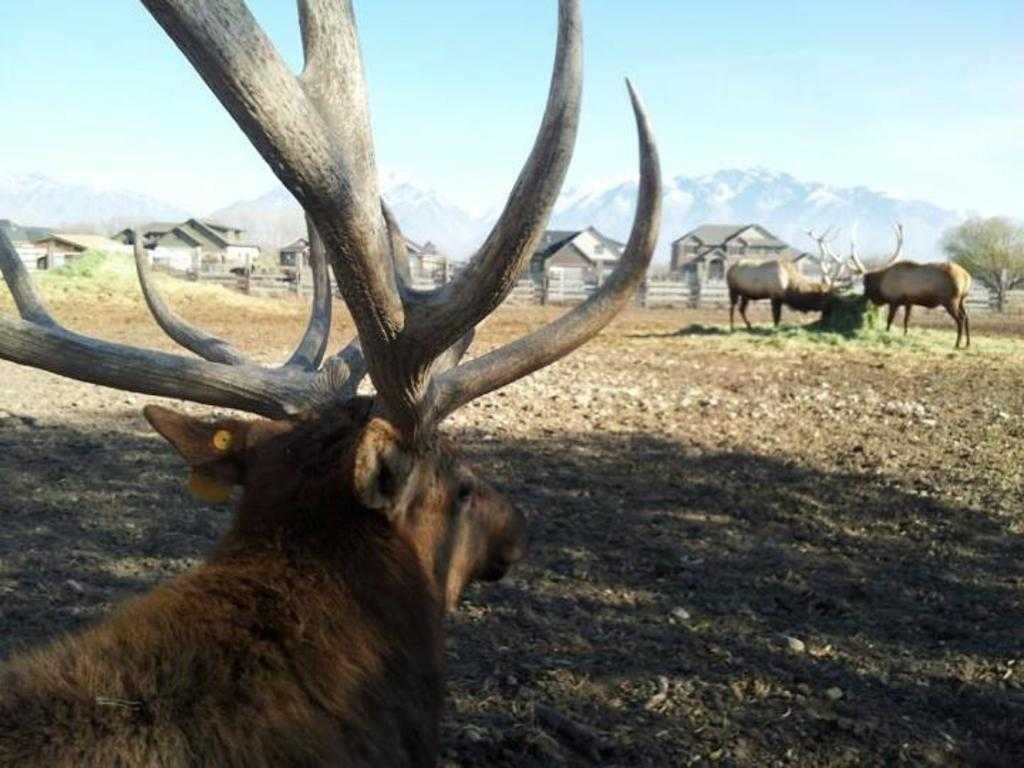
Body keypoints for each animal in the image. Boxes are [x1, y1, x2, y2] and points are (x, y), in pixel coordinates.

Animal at [844, 224, 973, 349]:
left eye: (864, 282)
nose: (863, 295)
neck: (882, 281)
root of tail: (967, 277)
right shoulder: (909, 302)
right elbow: (906, 320)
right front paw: (905, 334)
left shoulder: (894, 301)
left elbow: (890, 320)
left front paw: (886, 333)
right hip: (962, 300)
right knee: (967, 316)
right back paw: (967, 343)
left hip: (951, 300)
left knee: (960, 319)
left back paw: (957, 343)